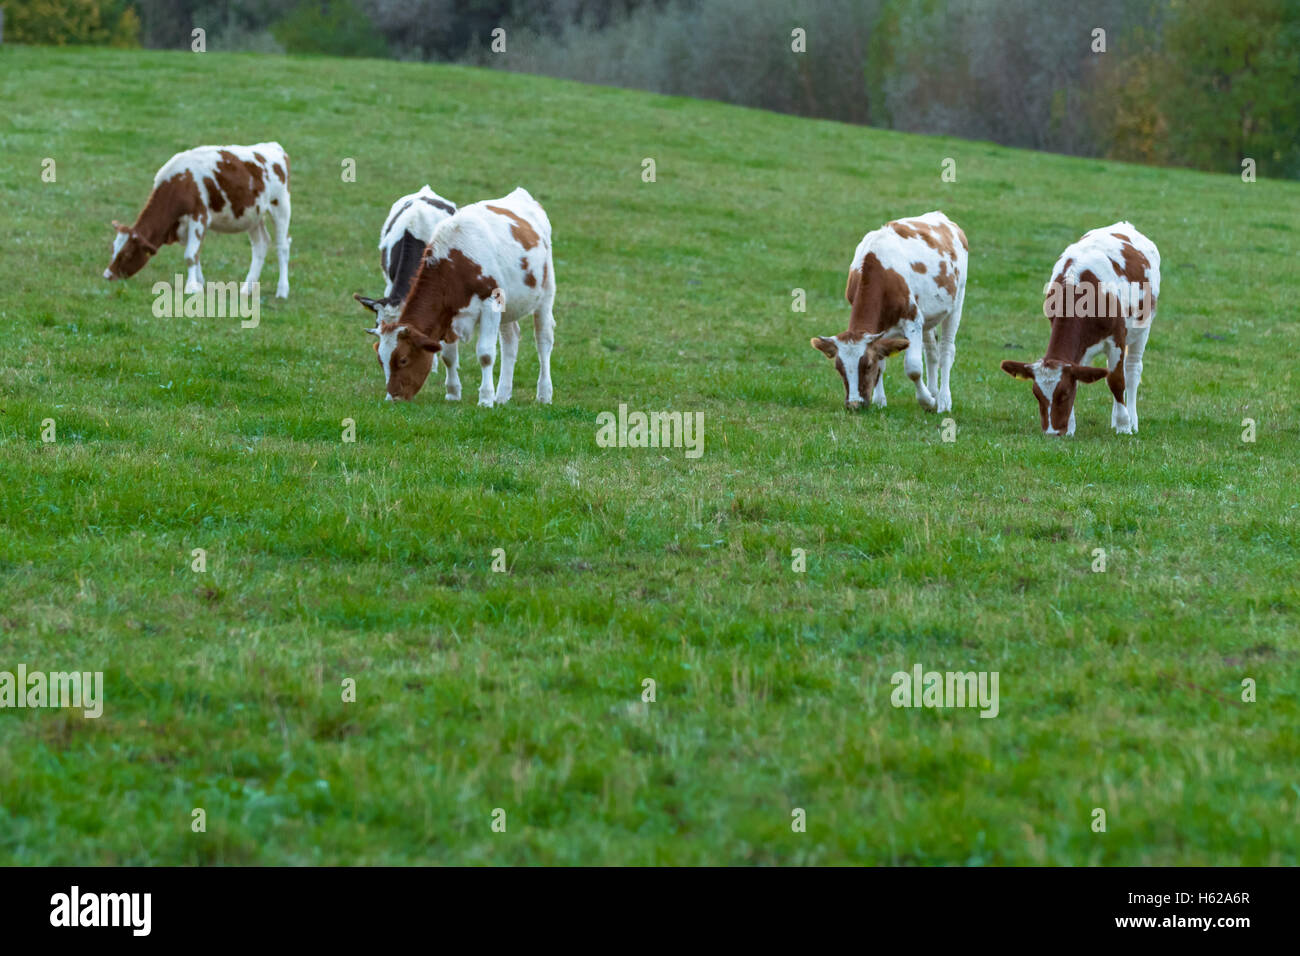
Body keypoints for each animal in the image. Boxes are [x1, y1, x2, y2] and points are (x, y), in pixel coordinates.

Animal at [103, 142, 291, 298]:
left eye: (127, 254)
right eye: (113, 249)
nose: (107, 275)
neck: (181, 181)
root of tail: (274, 147)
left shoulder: (199, 216)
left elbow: (190, 255)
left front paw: (190, 287)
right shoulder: (183, 225)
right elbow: (196, 254)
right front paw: (199, 285)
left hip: (280, 206)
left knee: (282, 246)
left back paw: (282, 291)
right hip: (253, 215)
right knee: (260, 245)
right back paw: (247, 289)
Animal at [366, 187, 555, 406]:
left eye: (403, 359)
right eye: (381, 361)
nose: (392, 397)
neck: (456, 264)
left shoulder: (490, 304)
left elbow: (486, 354)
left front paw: (485, 399)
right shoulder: (449, 312)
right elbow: (448, 355)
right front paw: (453, 393)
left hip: (546, 293)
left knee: (543, 341)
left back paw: (543, 394)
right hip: (509, 306)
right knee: (510, 341)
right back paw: (502, 395)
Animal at [810, 211, 968, 413]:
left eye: (868, 366)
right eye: (839, 368)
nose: (854, 404)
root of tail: (940, 216)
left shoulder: (913, 319)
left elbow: (914, 368)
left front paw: (927, 401)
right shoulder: (883, 327)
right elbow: (883, 359)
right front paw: (880, 400)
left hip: (957, 302)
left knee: (946, 350)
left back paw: (943, 400)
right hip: (929, 315)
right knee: (931, 350)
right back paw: (933, 390)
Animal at [1000, 222, 1159, 436]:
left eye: (1064, 394)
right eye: (1036, 394)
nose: (1052, 432)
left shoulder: (1117, 338)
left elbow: (1117, 380)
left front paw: (1124, 425)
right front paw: (1070, 427)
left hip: (1142, 329)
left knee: (1132, 370)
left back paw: (1132, 420)